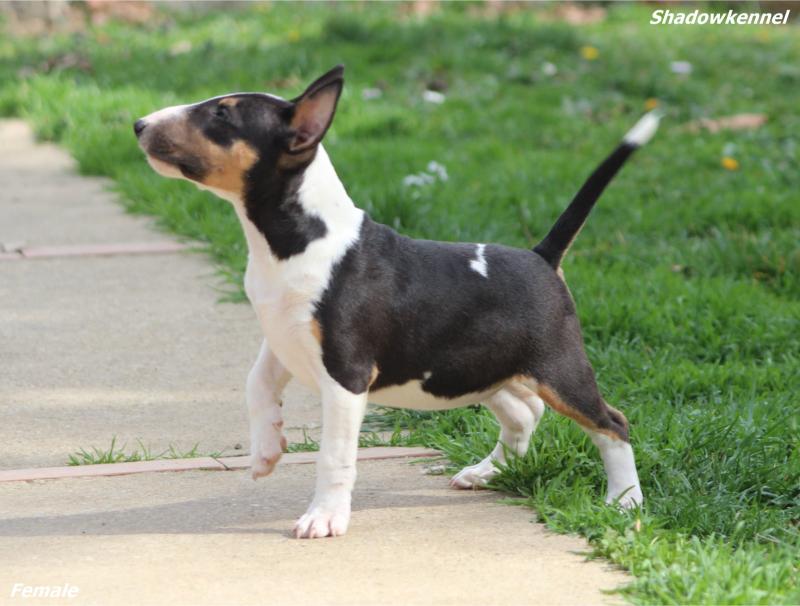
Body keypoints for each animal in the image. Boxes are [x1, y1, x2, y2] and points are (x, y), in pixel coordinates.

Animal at [134, 67, 660, 540]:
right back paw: (484, 472)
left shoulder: (345, 372)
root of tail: (542, 256)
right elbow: (256, 383)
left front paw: (323, 518)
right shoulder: (282, 334)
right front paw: (266, 452)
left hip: (559, 368)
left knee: (612, 424)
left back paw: (624, 500)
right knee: (524, 413)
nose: (139, 124)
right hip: (477, 368)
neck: (296, 239)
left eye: (222, 115)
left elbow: (334, 454)